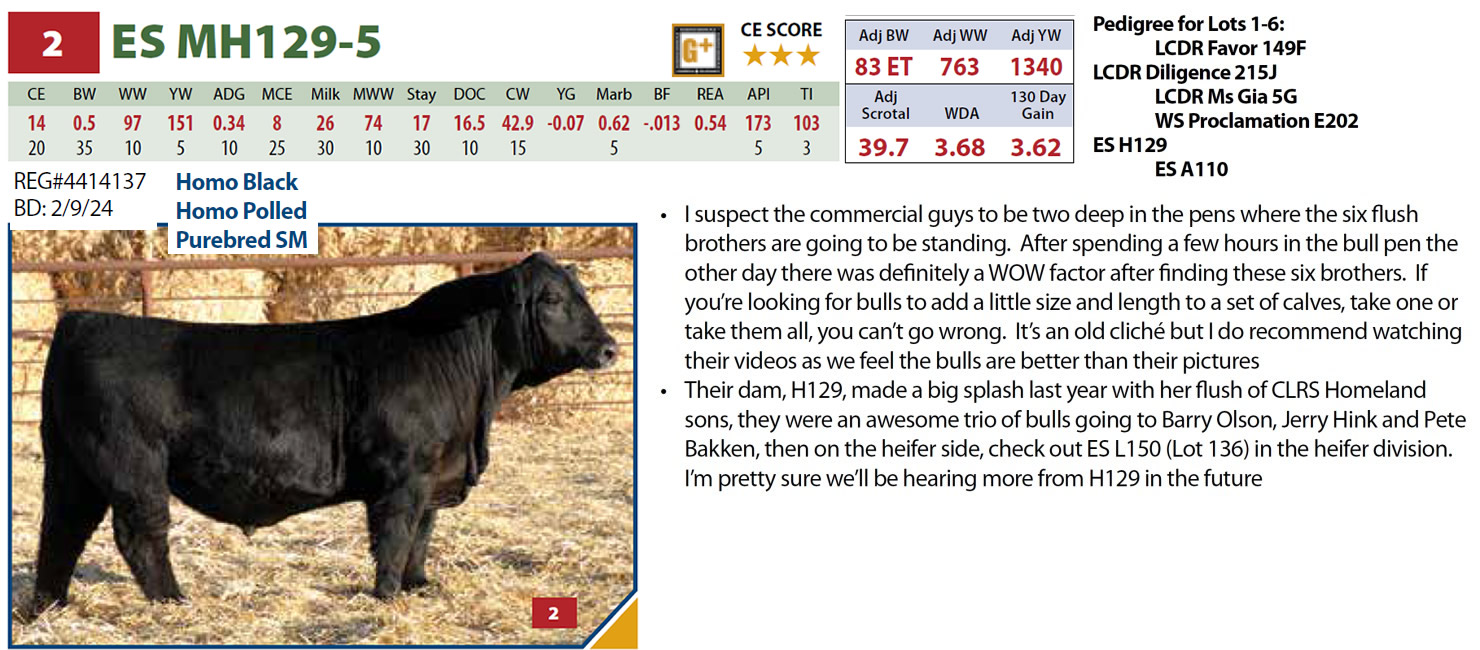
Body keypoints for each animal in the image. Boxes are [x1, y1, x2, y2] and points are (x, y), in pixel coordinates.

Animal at [29, 252, 619, 613]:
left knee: (61, 529)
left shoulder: (434, 473)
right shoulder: (401, 477)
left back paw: (49, 607)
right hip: (131, 465)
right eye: (551, 300)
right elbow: (395, 538)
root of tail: (82, 319)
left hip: (73, 466)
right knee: (140, 534)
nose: (610, 347)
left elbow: (422, 538)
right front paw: (387, 596)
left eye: (582, 291)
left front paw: (420, 588)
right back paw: (173, 602)